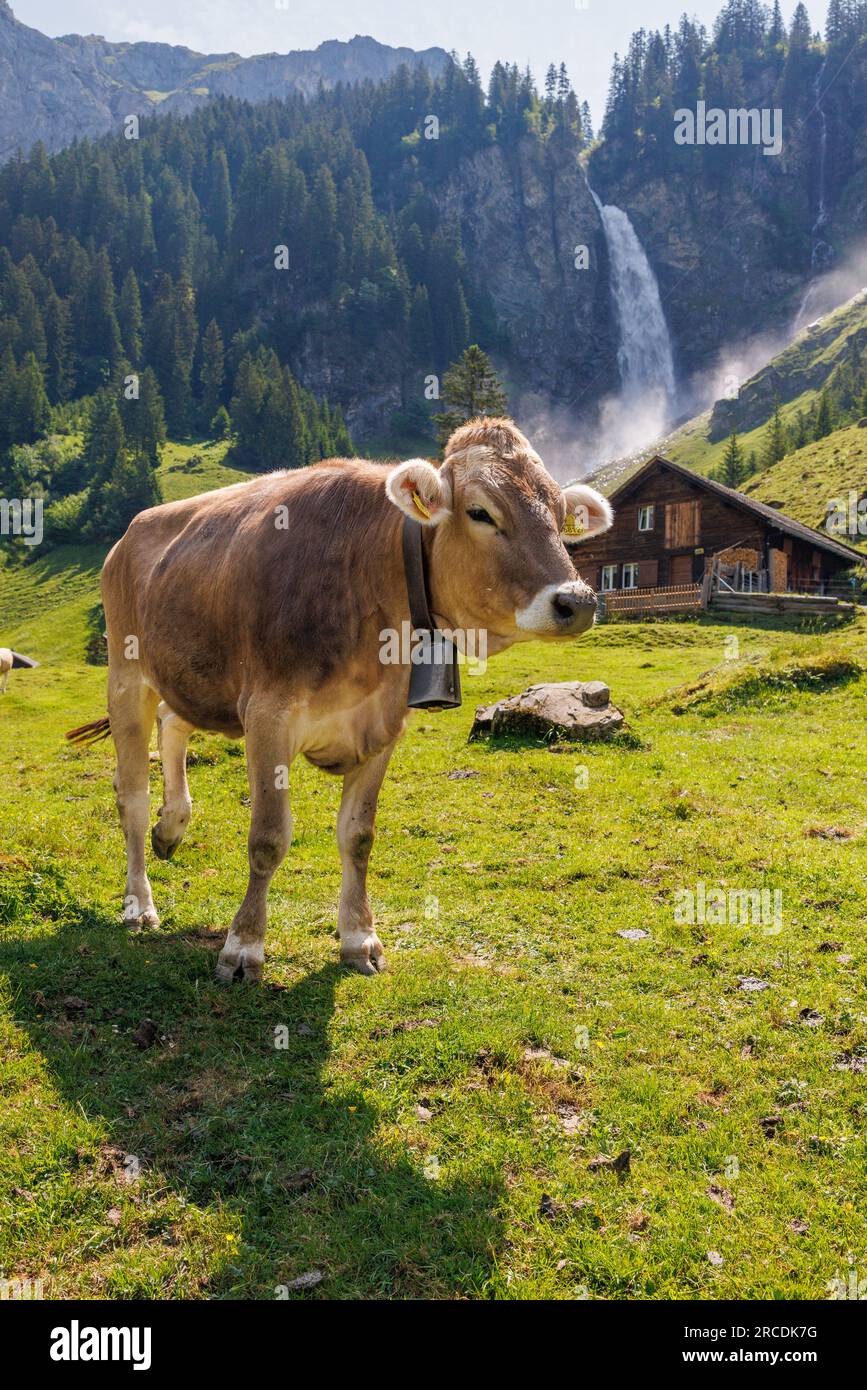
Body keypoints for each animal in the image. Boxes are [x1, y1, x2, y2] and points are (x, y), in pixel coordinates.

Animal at [70, 418, 613, 981]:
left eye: (560, 516)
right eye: (481, 511)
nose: (577, 601)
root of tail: (132, 532)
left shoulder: (383, 724)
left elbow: (358, 836)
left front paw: (359, 938)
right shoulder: (267, 715)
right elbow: (268, 838)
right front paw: (243, 947)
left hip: (192, 673)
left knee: (173, 722)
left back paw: (171, 827)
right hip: (126, 676)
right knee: (131, 797)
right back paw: (139, 903)